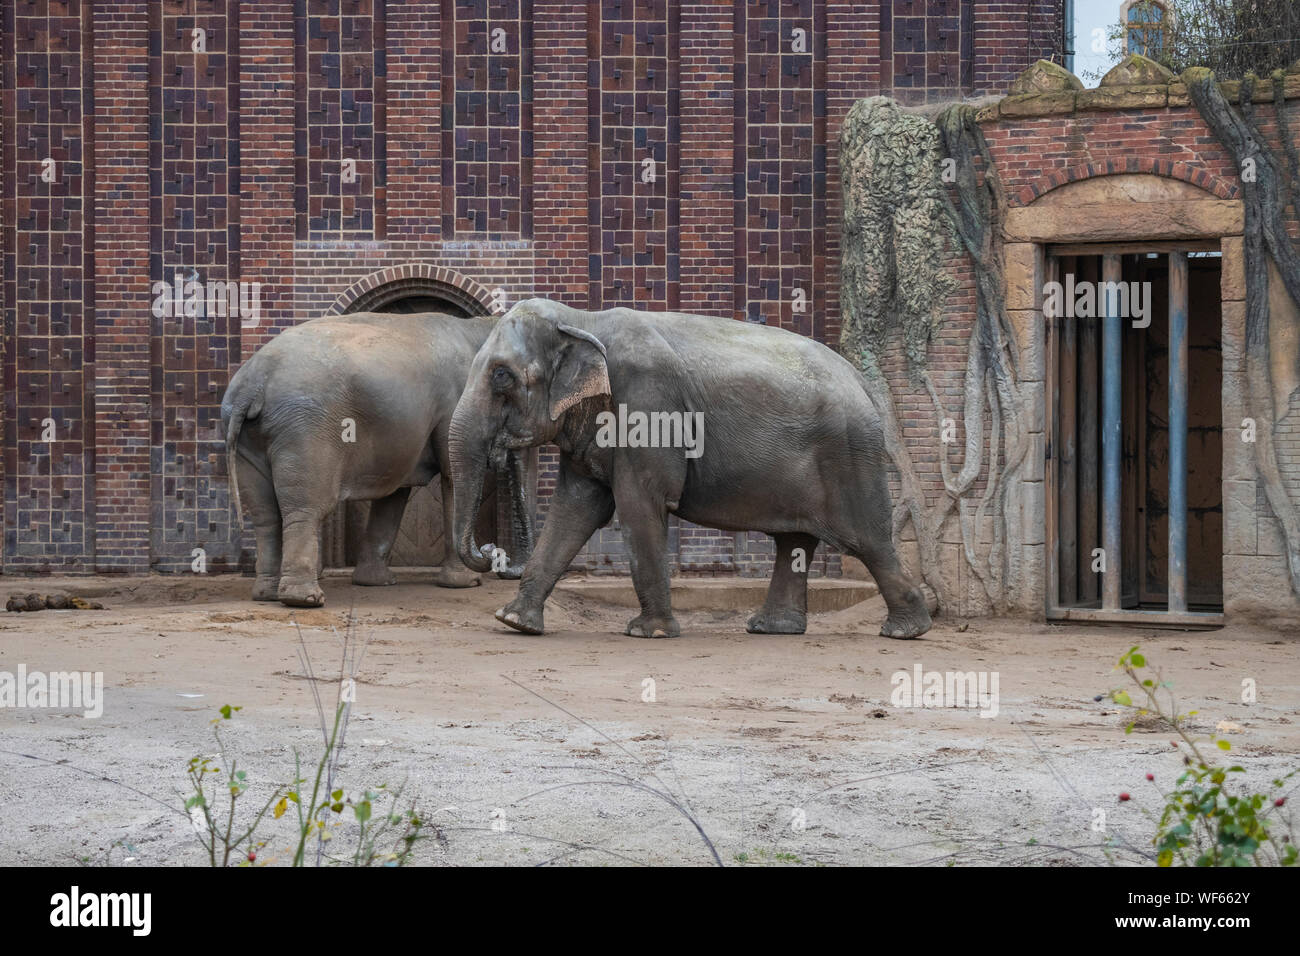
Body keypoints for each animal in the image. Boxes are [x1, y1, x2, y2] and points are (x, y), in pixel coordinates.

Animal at [221, 311, 534, 607]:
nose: (495, 554)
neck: (479, 327)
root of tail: (252, 385)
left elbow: (395, 492)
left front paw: (376, 582)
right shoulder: (456, 403)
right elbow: (450, 476)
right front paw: (465, 583)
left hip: (251, 435)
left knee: (265, 514)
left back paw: (266, 594)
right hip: (304, 429)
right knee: (306, 507)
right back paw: (305, 599)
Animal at [448, 297, 932, 640]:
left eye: (502, 376)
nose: (492, 553)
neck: (584, 318)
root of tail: (863, 380)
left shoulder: (648, 407)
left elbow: (638, 504)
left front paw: (650, 633)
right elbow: (575, 509)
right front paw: (514, 622)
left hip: (850, 455)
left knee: (867, 539)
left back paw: (906, 630)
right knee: (794, 541)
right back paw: (772, 628)